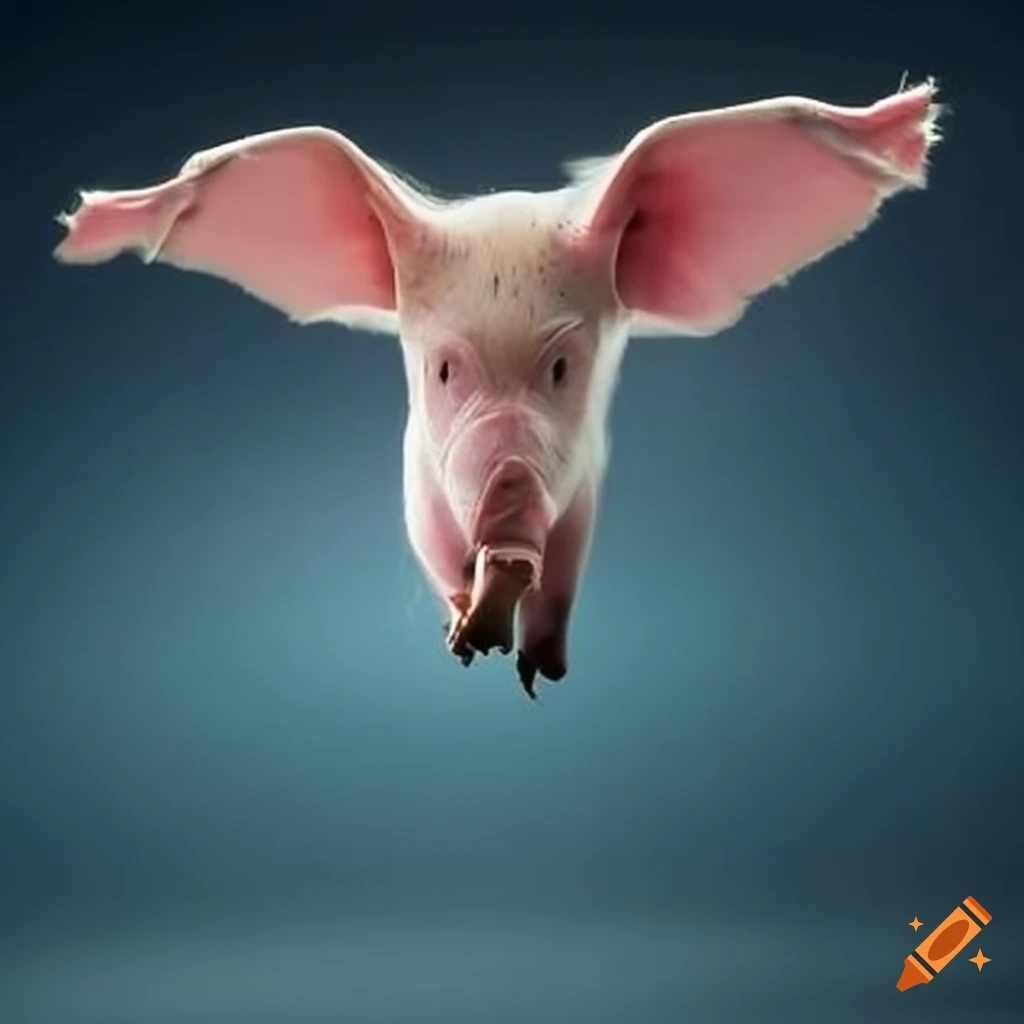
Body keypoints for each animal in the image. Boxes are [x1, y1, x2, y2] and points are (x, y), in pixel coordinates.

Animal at [53, 80, 942, 699]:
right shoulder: (416, 491)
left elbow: (565, 584)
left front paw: (537, 667)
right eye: (446, 369)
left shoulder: (583, 497)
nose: (509, 484)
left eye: (563, 366)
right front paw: (466, 639)